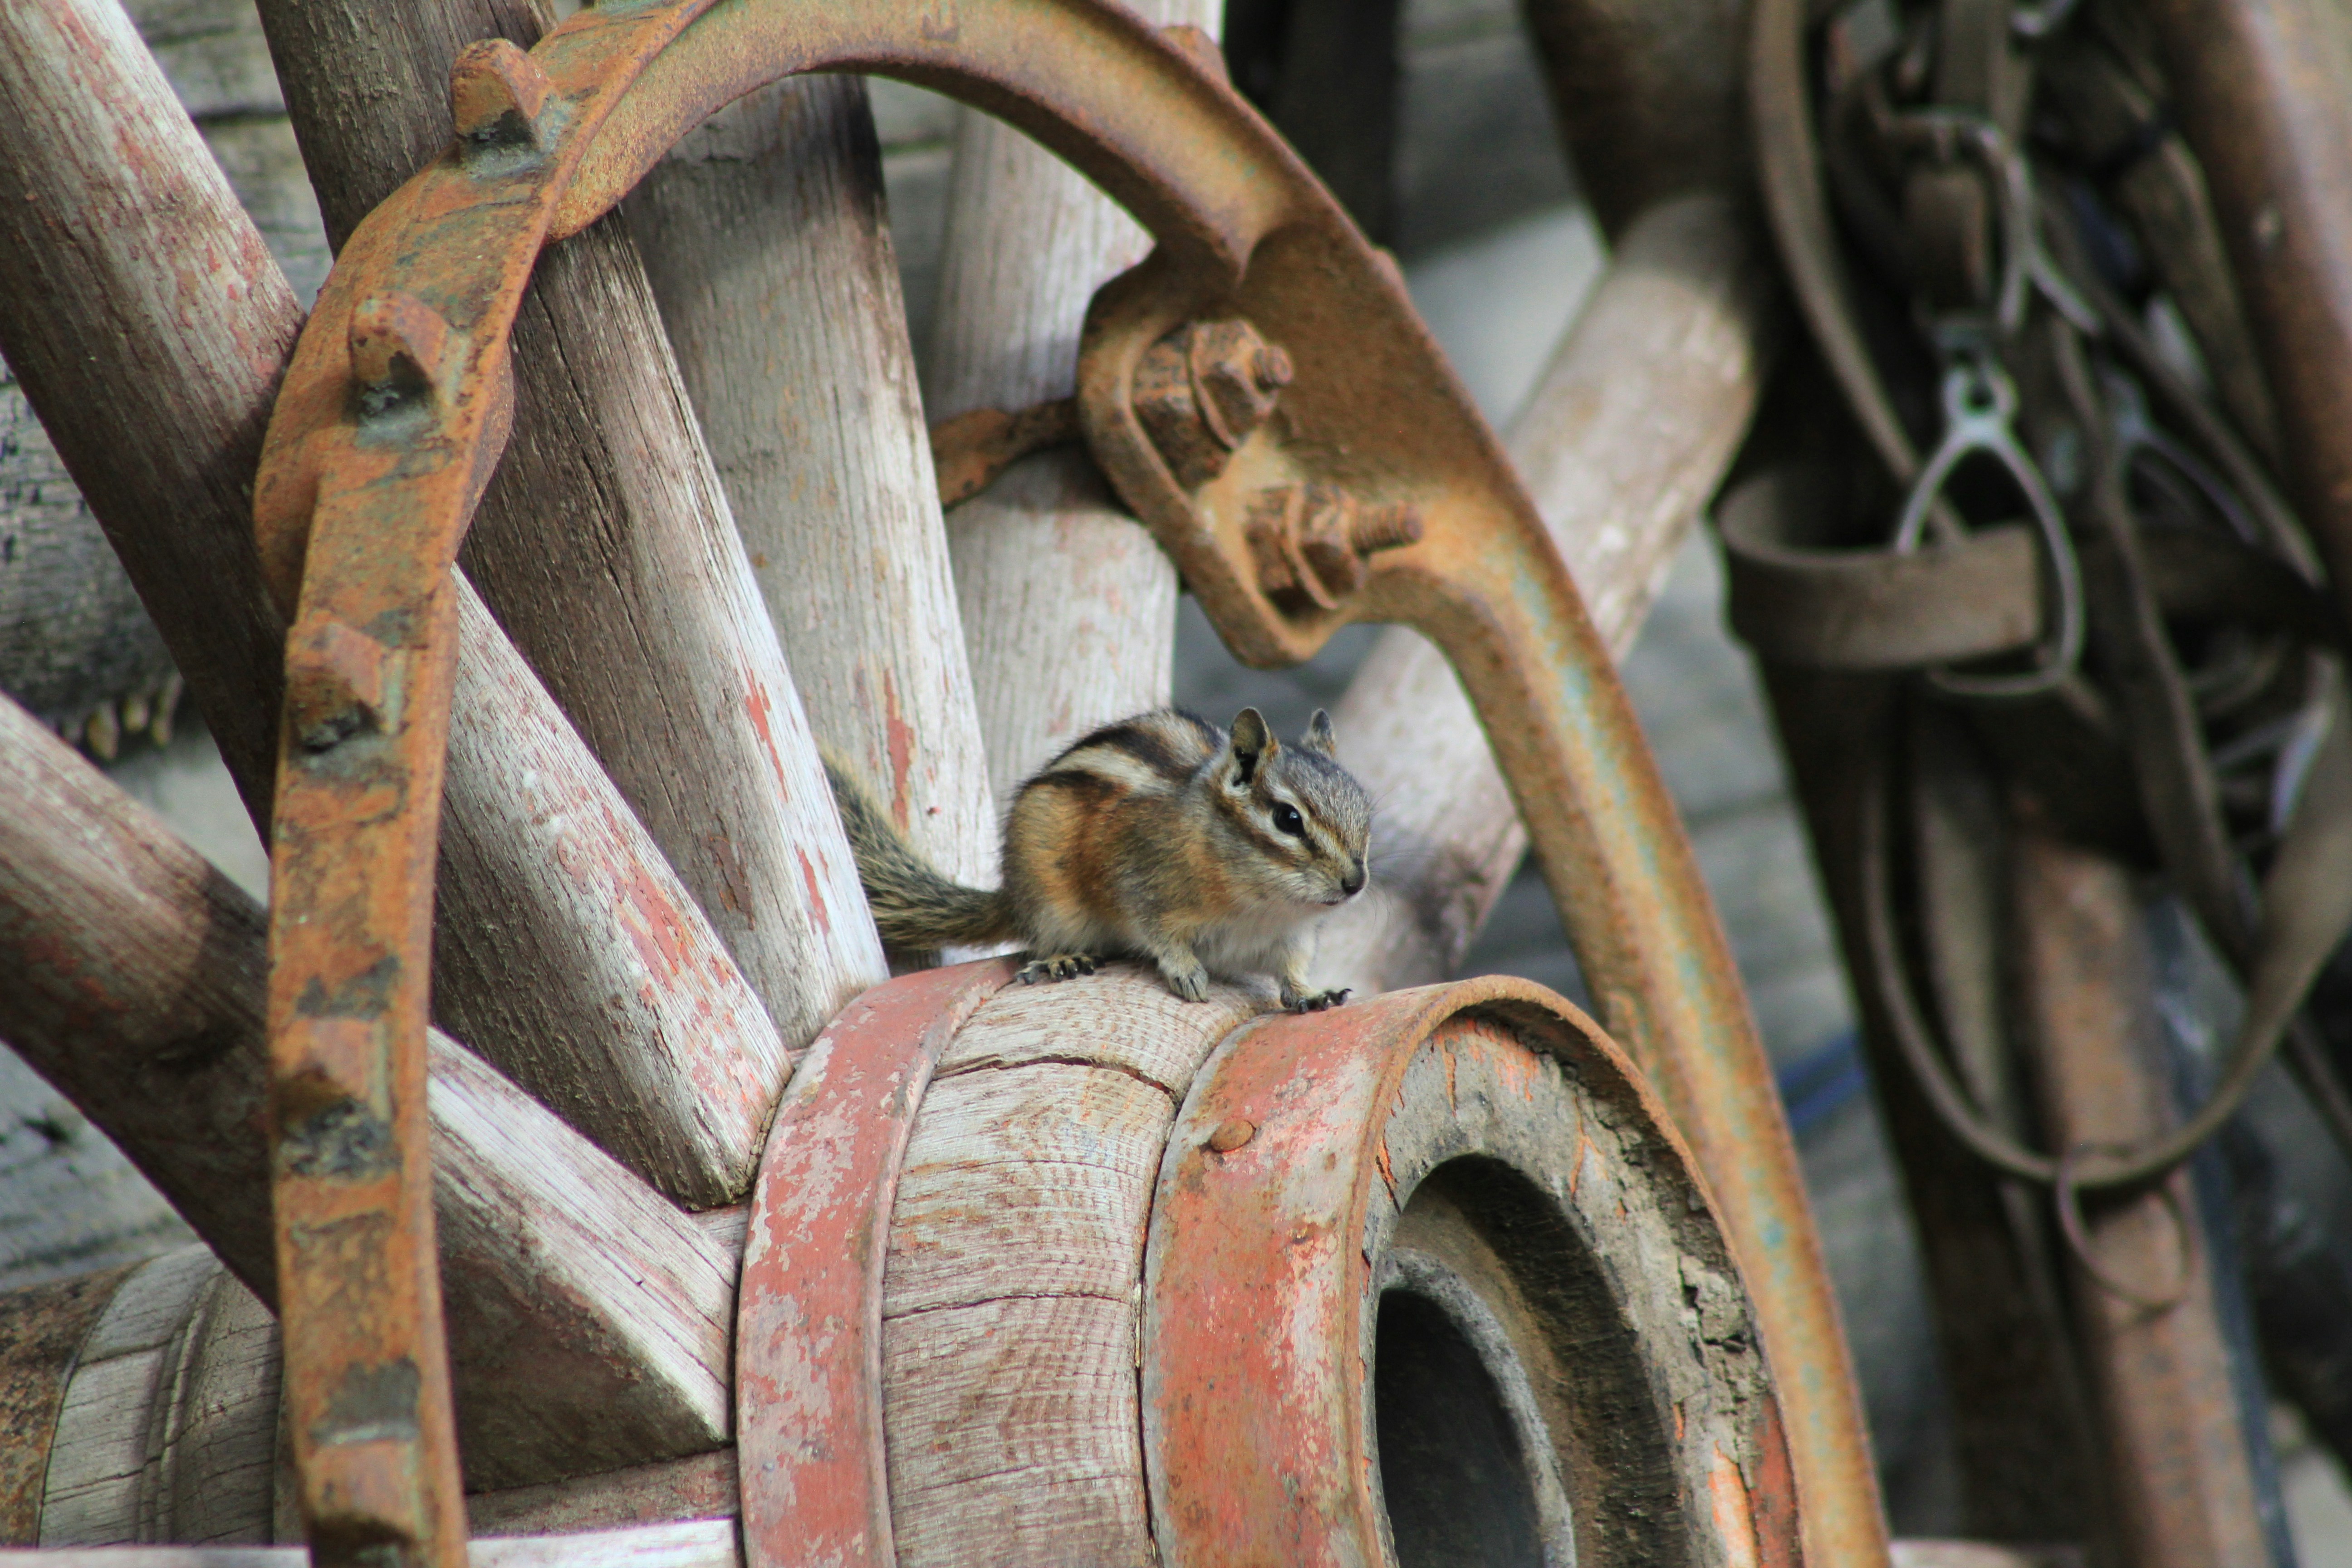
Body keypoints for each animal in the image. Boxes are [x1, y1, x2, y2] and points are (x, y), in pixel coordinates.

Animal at [824, 706, 1372, 1011]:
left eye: (1365, 809)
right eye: (1288, 819)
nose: (1355, 884)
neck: (1262, 904)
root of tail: (1011, 895)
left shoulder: (1293, 937)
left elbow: (1292, 973)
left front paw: (1312, 994)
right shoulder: (1136, 878)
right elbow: (1157, 931)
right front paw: (1185, 970)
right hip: (1051, 901)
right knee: (1038, 943)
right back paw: (1062, 960)